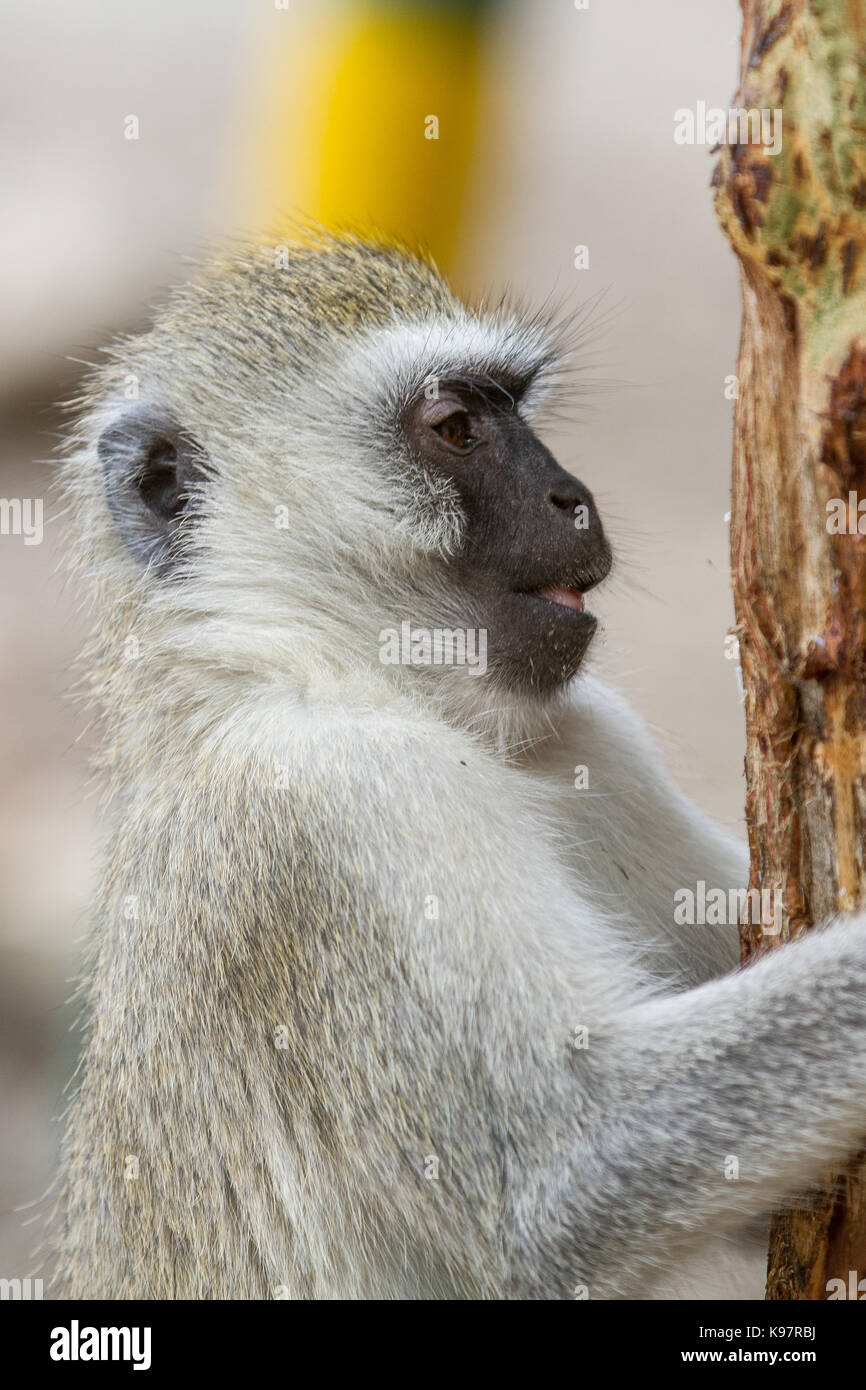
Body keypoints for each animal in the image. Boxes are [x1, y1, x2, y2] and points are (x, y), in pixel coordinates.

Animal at [52, 229, 866, 1300]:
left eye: (516, 409)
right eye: (456, 428)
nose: (574, 498)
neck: (331, 669)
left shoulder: (592, 742)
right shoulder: (342, 807)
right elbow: (560, 1176)